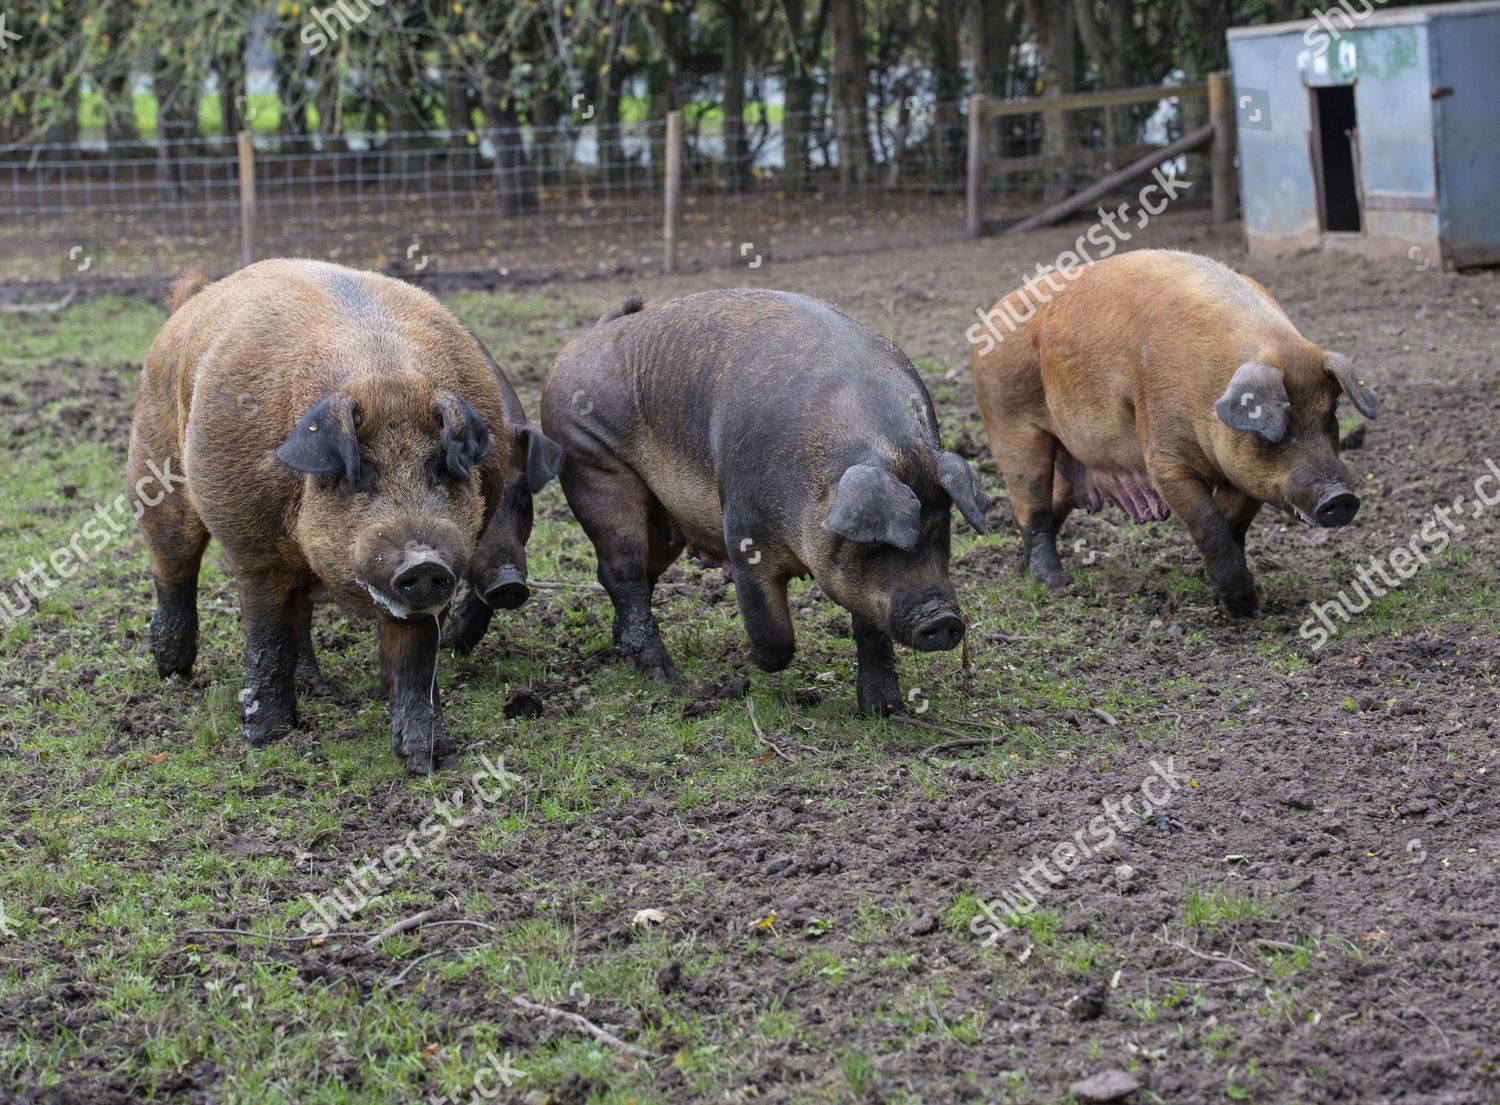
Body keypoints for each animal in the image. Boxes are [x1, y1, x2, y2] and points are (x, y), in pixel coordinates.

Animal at [126, 259, 562, 773]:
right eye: (362, 474)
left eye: (440, 467)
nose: (423, 561)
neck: (382, 378)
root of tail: (191, 301)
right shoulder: (255, 552)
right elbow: (267, 639)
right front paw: (269, 739)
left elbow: (416, 663)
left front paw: (432, 763)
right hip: (153, 473)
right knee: (173, 569)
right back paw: (171, 670)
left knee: (299, 612)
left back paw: (313, 684)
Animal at [540, 289, 990, 715]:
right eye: (881, 542)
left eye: (942, 531)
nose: (944, 619)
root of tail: (581, 341)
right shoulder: (743, 527)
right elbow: (772, 627)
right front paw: (753, 663)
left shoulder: (864, 586)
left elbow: (871, 632)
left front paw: (885, 711)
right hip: (592, 464)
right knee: (623, 572)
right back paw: (661, 676)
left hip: (662, 522)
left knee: (637, 577)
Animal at [970, 249, 1378, 616]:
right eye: (1276, 428)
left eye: (1330, 416)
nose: (1340, 497)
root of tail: (989, 320)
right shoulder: (1165, 460)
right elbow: (1211, 526)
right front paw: (1245, 610)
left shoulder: (1246, 477)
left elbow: (1233, 527)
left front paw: (1226, 595)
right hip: (1010, 425)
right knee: (1032, 508)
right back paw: (1055, 582)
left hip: (1071, 458)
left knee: (1049, 508)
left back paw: (1022, 573)